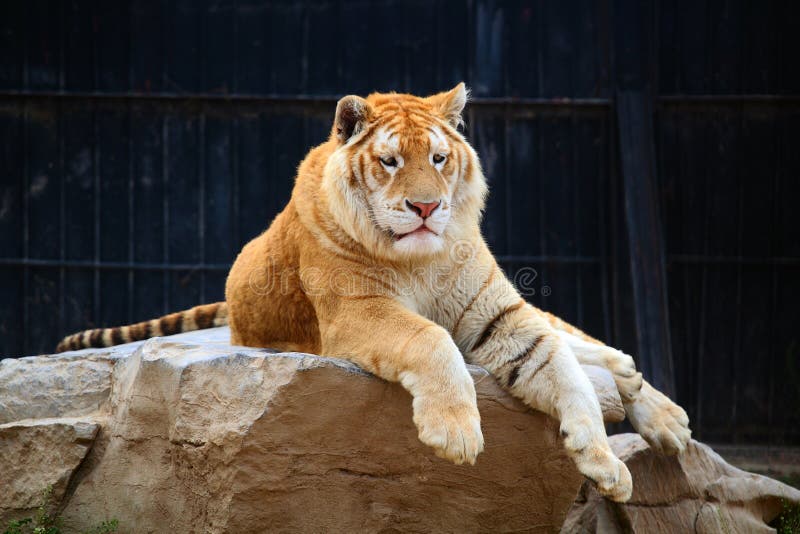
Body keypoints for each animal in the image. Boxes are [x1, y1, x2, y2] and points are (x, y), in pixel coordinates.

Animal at [57, 83, 691, 502]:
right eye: (389, 161)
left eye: (438, 158)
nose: (427, 207)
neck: (423, 260)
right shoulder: (357, 313)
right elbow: (433, 339)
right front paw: (456, 434)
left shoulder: (502, 313)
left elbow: (561, 369)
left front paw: (603, 461)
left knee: (575, 341)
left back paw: (658, 407)